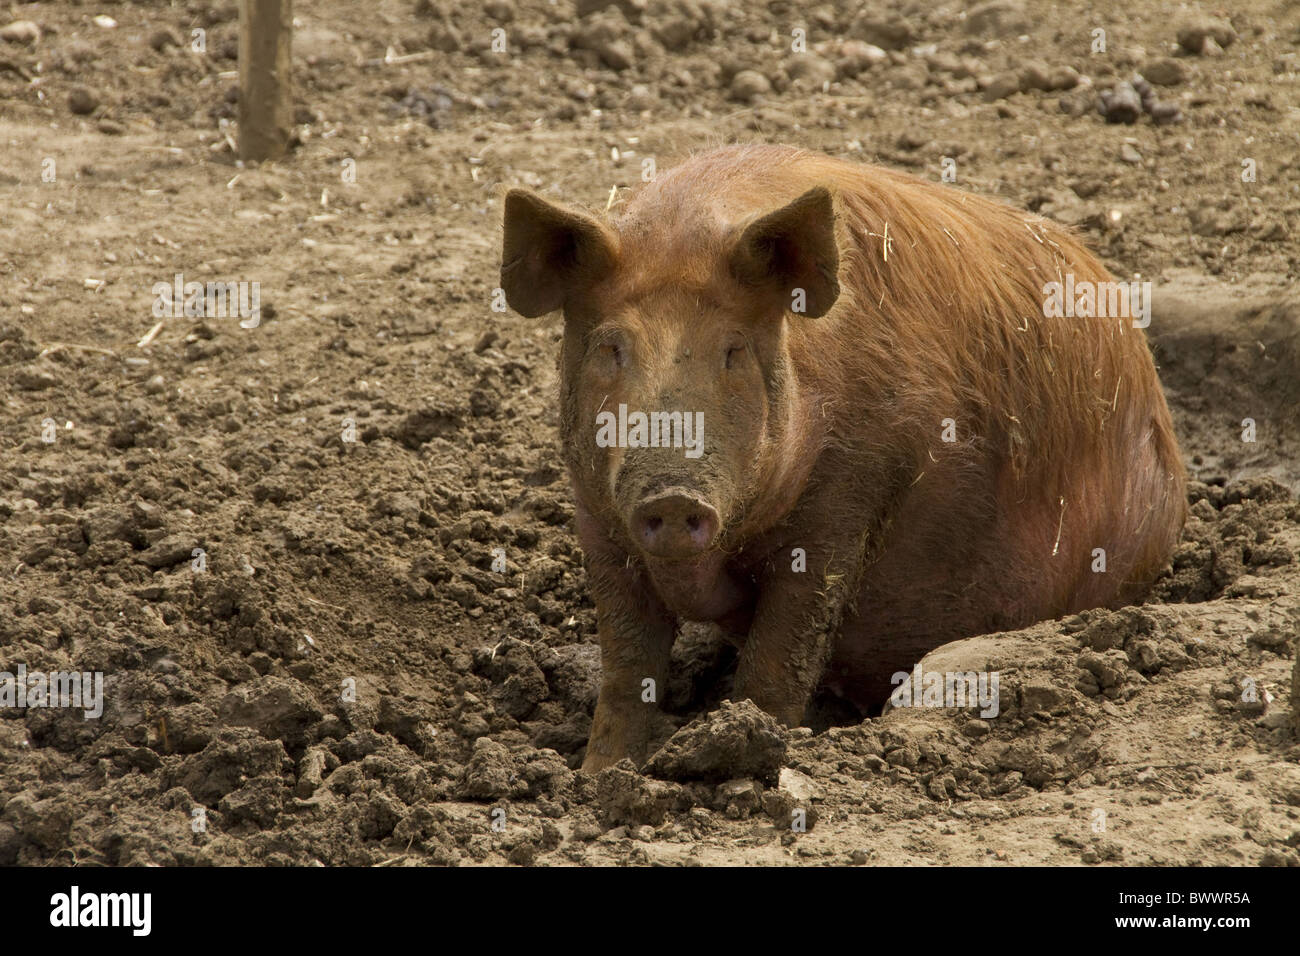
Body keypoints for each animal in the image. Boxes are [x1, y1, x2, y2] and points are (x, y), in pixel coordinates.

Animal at [500, 144, 1187, 771]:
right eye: (610, 347)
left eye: (733, 350)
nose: (672, 495)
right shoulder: (597, 518)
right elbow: (625, 662)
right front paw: (597, 777)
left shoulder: (850, 494)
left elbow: (784, 650)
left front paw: (750, 750)